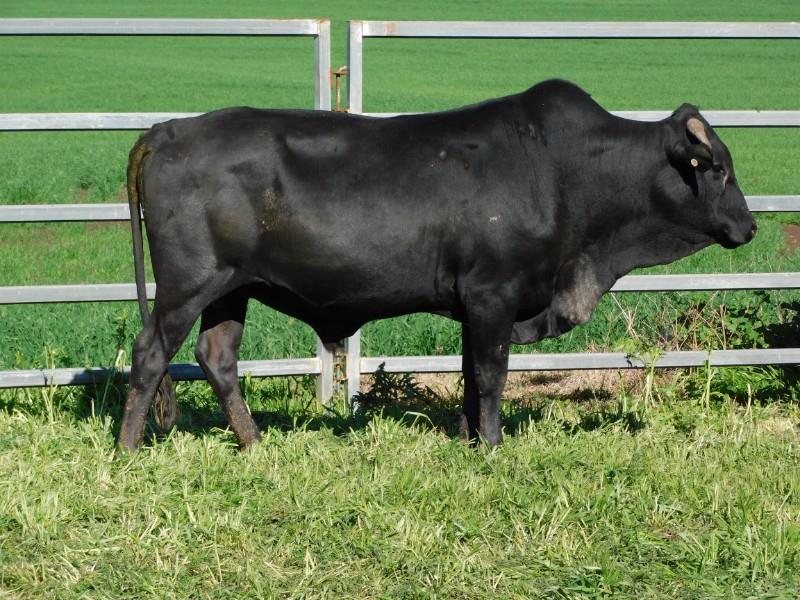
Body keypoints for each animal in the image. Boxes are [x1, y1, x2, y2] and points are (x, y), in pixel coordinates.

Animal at [117, 79, 756, 453]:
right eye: (719, 168)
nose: (748, 227)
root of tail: (172, 128)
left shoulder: (475, 304)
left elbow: (472, 374)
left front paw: (471, 439)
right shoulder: (494, 293)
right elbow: (492, 374)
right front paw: (493, 447)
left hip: (231, 287)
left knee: (217, 356)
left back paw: (253, 445)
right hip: (188, 284)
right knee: (150, 354)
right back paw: (128, 447)